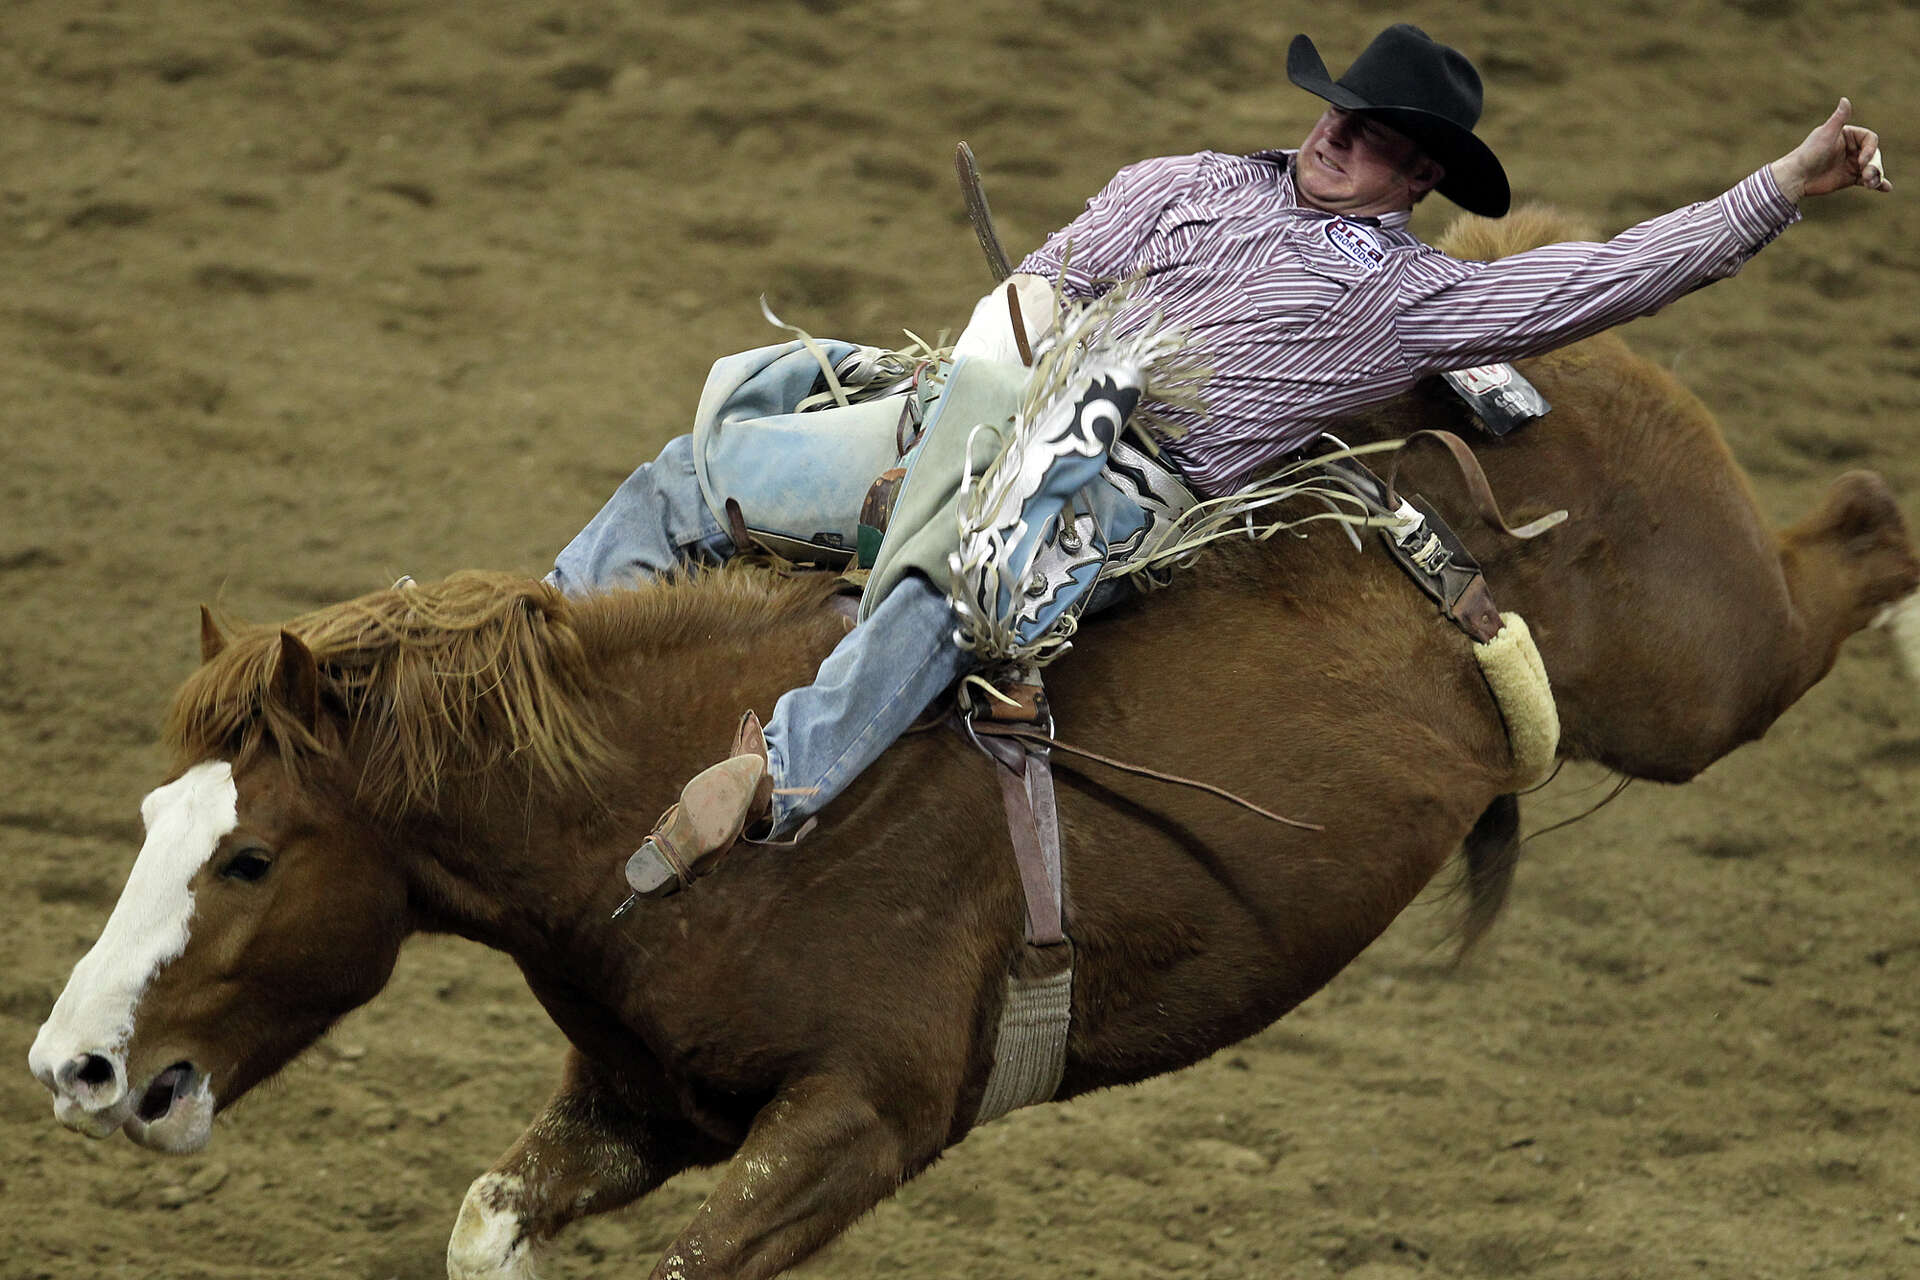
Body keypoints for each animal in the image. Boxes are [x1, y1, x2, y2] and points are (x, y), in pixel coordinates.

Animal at [29, 208, 1920, 1280]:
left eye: (252, 854)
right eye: (148, 818)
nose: (76, 1068)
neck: (664, 819)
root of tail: (1521, 345)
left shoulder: (866, 1118)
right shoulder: (644, 1103)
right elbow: (487, 1222)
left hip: (1711, 668)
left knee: (1862, 524)